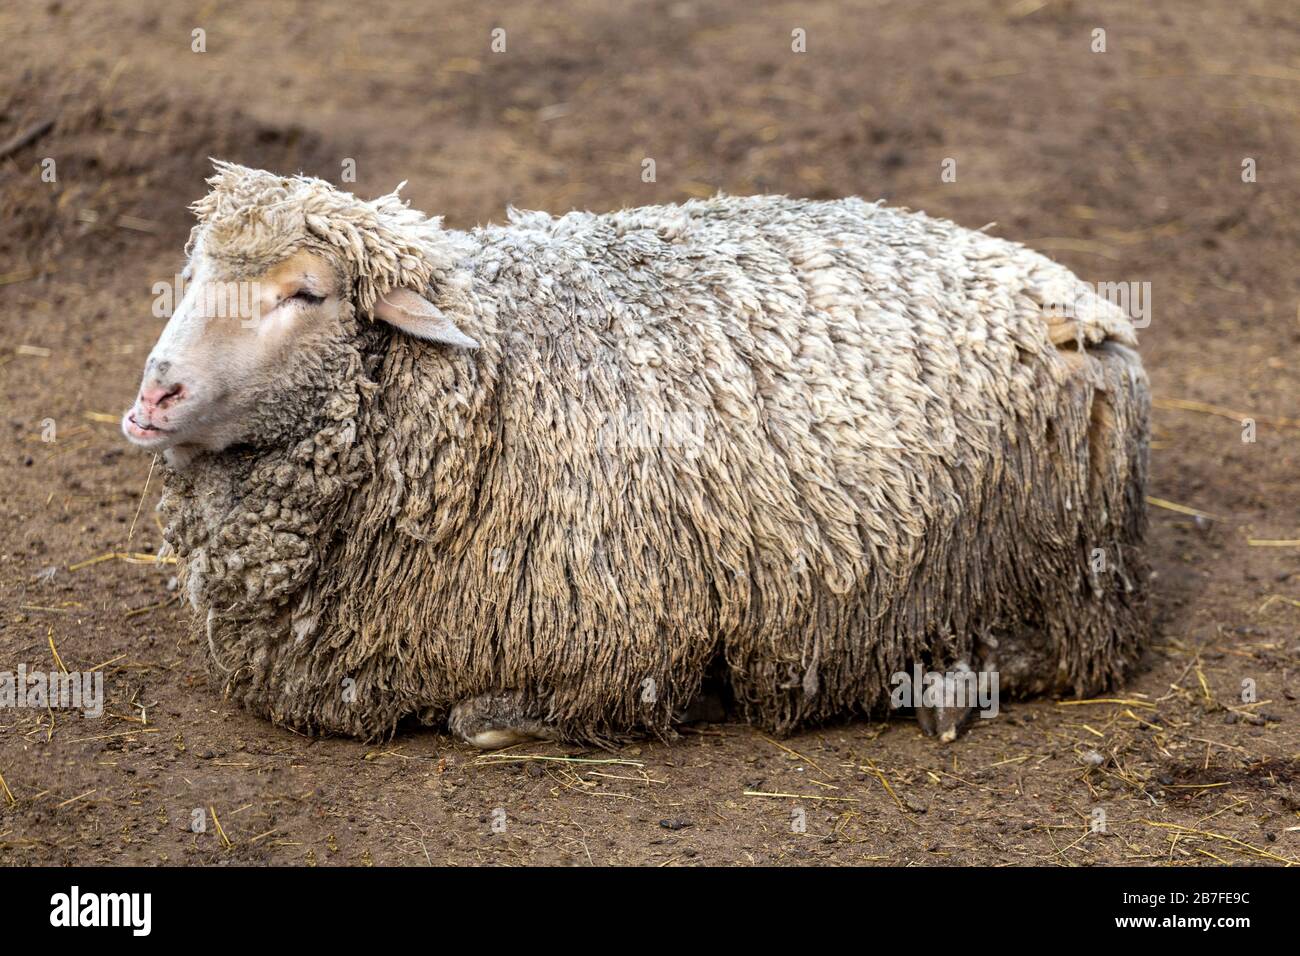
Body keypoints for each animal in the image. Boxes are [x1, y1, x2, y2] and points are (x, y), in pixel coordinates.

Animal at [124, 161, 1151, 747]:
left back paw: (947, 686)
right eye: (194, 273)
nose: (152, 399)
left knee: (1074, 654)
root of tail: (1077, 299)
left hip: (1064, 556)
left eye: (306, 292)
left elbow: (480, 722)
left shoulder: (623, 638)